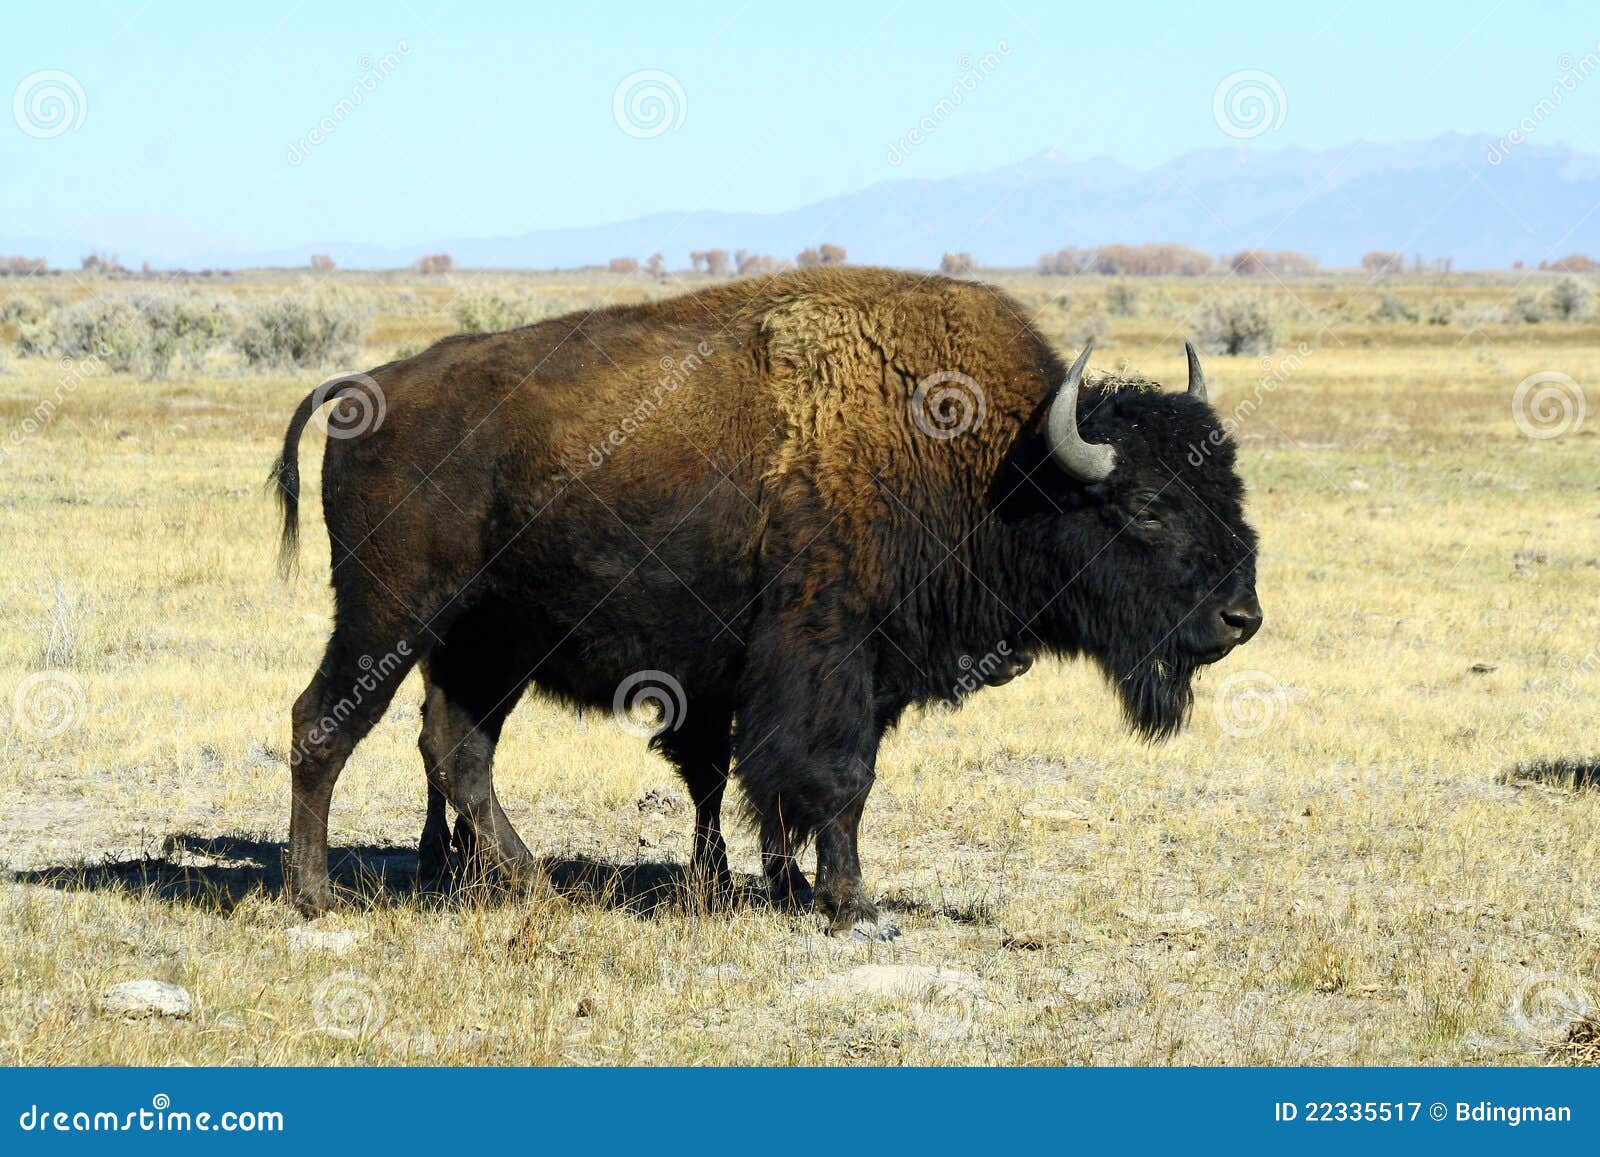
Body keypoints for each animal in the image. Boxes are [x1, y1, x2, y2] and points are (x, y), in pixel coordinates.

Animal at [265, 267, 1260, 934]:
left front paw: (795, 889)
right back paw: (315, 897)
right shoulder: (826, 657)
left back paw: (532, 886)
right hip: (388, 617)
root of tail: (365, 389)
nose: (1240, 618)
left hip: (484, 642)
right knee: (322, 723)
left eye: (1229, 489)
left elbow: (788, 786)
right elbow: (836, 780)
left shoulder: (858, 672)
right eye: (1148, 506)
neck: (998, 465)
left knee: (457, 751)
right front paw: (852, 907)